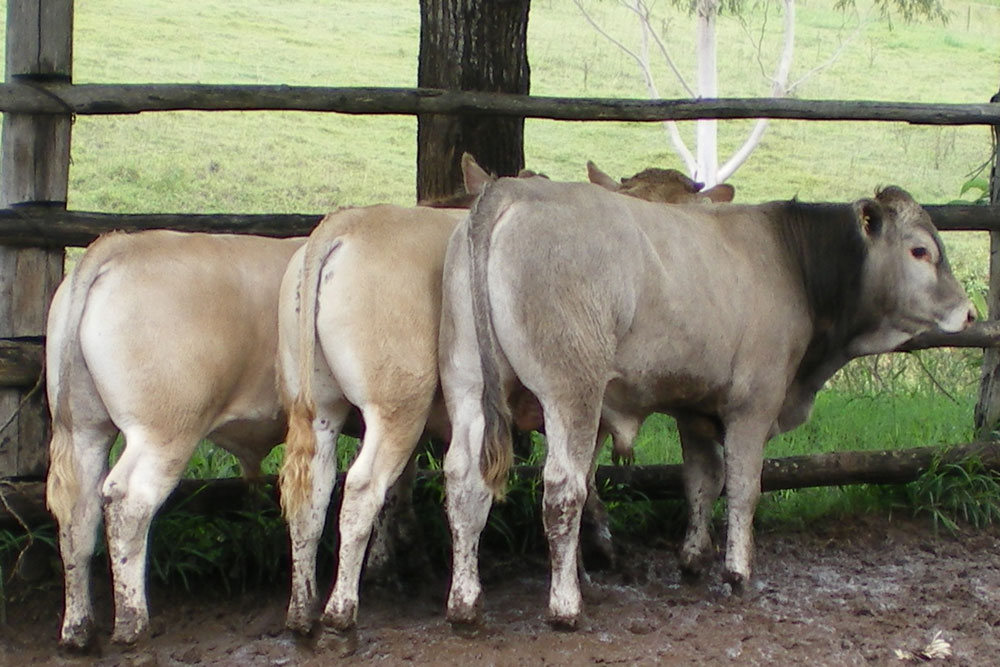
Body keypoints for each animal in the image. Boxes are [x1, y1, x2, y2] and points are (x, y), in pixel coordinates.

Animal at [45, 230, 304, 649]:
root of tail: (119, 244)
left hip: (83, 427)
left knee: (78, 513)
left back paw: (77, 629)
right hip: (163, 430)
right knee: (128, 504)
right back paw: (132, 624)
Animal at [277, 155, 731, 641]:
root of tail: (344, 222)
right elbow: (581, 481)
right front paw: (589, 562)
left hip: (323, 405)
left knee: (314, 490)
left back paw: (304, 609)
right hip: (397, 405)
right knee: (362, 487)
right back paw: (341, 609)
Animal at [438, 177, 974, 631]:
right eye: (921, 250)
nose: (969, 312)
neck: (793, 262)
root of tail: (513, 189)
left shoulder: (695, 410)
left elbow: (701, 480)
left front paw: (694, 558)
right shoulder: (753, 405)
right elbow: (743, 487)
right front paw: (738, 571)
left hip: (467, 382)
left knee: (465, 482)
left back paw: (465, 604)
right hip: (572, 389)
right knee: (563, 489)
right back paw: (565, 605)